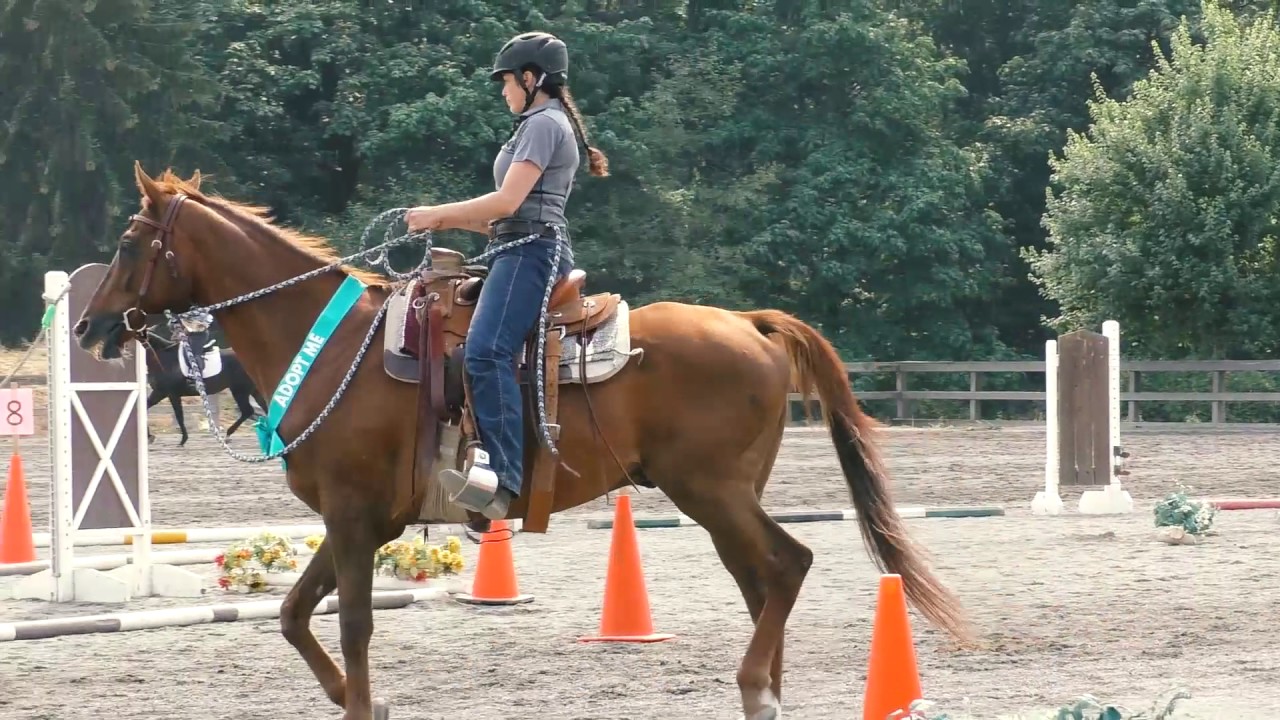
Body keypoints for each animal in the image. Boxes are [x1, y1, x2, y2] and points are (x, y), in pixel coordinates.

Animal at [72, 164, 973, 720]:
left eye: (127, 243)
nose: (87, 327)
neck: (327, 345)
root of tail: (751, 323)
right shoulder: (355, 518)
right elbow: (295, 616)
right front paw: (365, 698)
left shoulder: (354, 517)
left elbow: (353, 624)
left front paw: (364, 700)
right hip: (725, 498)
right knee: (763, 585)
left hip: (710, 491)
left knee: (788, 567)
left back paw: (757, 687)